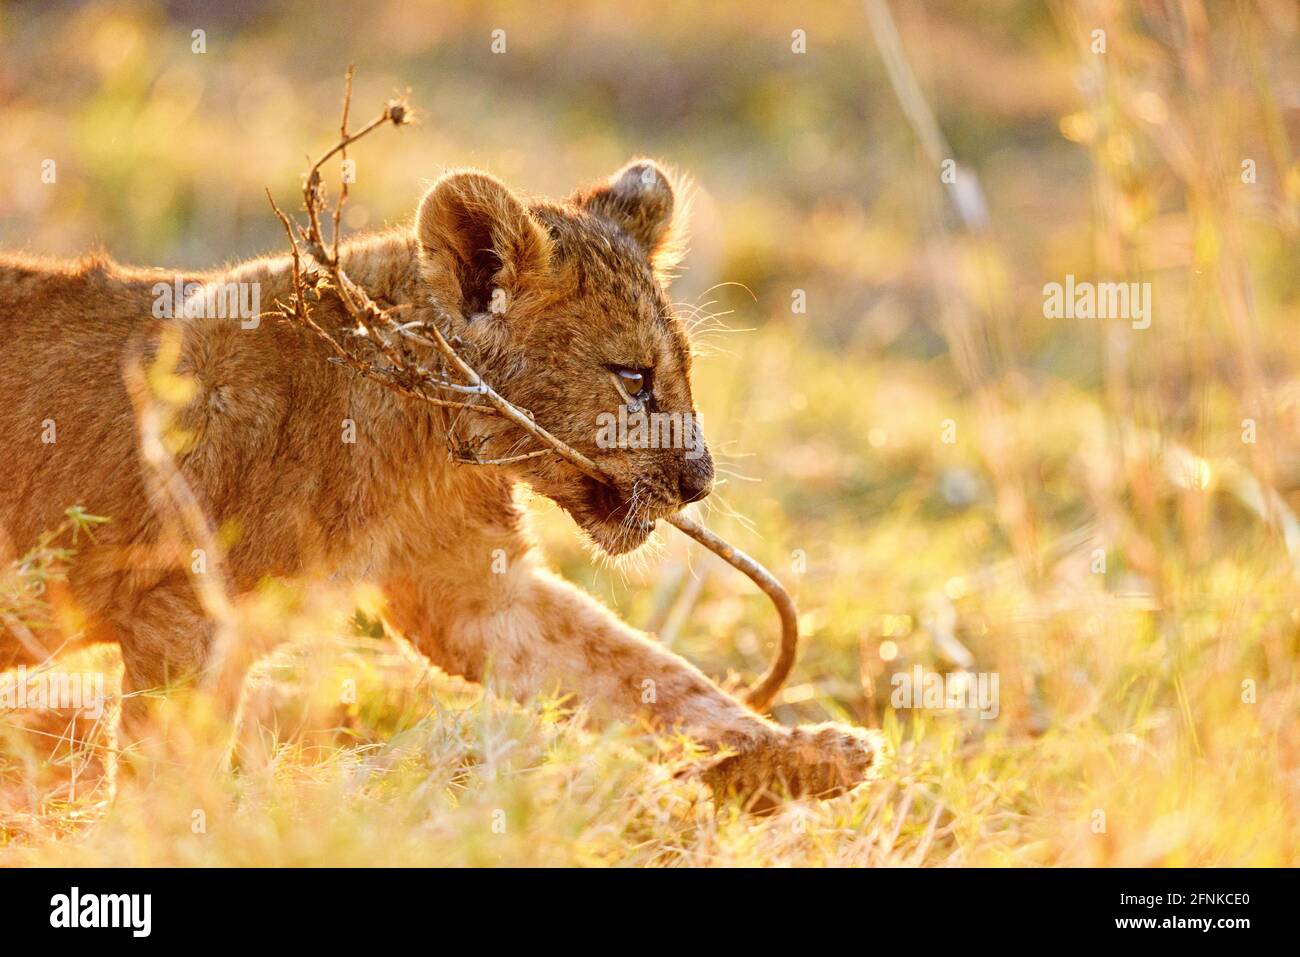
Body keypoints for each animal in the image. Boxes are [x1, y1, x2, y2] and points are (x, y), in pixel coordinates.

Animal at [0, 160, 877, 806]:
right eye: (633, 379)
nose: (701, 481)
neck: (430, 445)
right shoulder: (181, 608)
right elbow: (164, 766)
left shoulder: (470, 592)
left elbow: (640, 672)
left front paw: (802, 757)